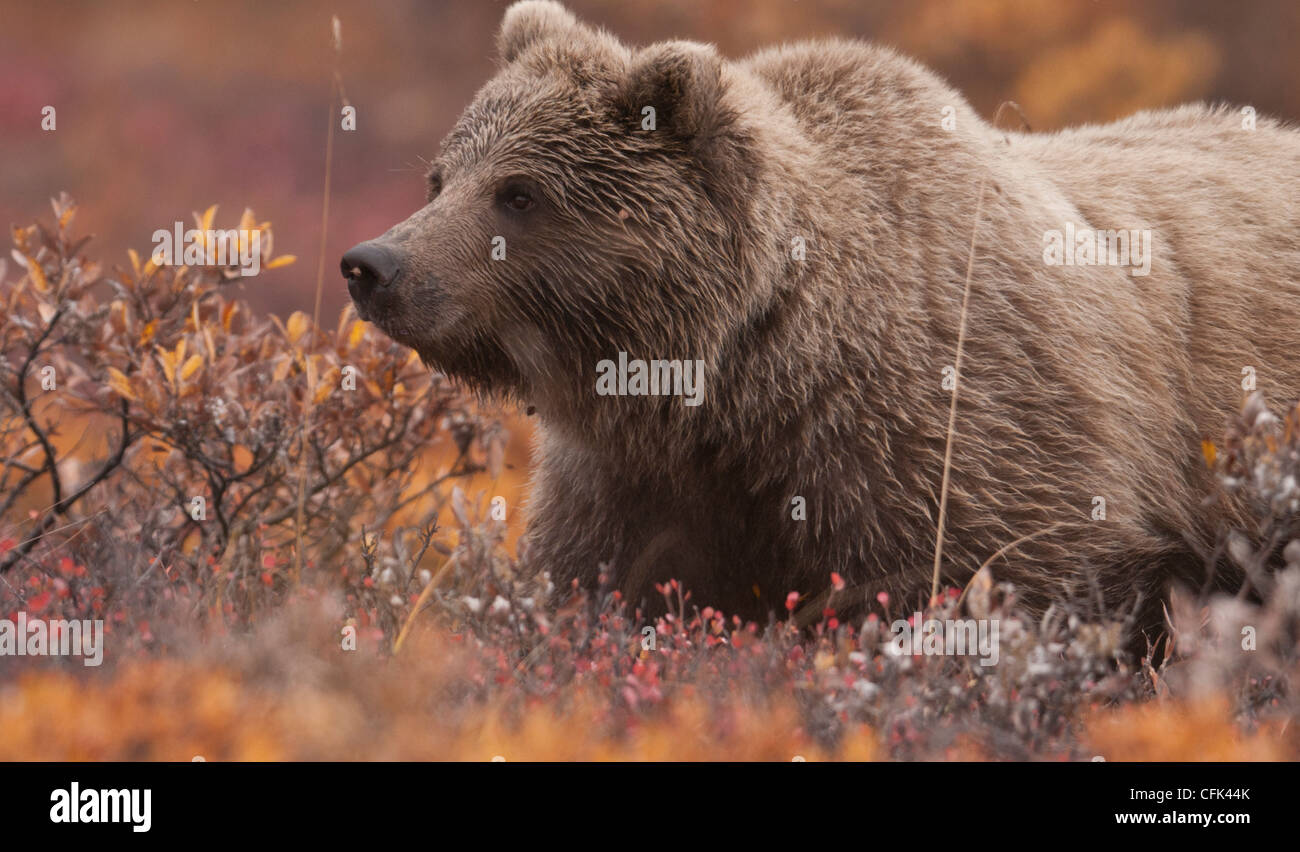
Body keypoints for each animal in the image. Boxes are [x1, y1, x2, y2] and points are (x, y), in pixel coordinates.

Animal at [342, 0, 1300, 639]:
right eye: (441, 177)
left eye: (519, 193)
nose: (374, 265)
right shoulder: (632, 477)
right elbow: (590, 585)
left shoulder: (972, 442)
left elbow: (1015, 585)